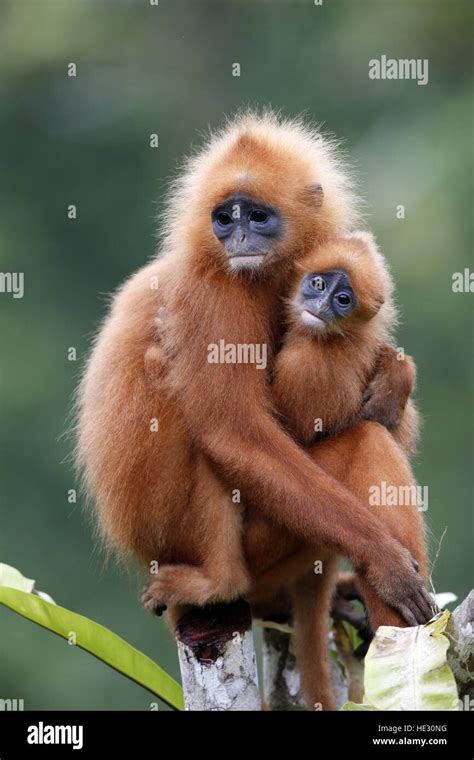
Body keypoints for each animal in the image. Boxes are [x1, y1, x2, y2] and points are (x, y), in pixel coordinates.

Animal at [77, 112, 435, 696]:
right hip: (217, 540)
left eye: (258, 217)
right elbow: (232, 432)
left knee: (370, 440)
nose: (239, 235)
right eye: (225, 219)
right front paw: (383, 560)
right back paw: (219, 583)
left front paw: (394, 378)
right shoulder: (214, 289)